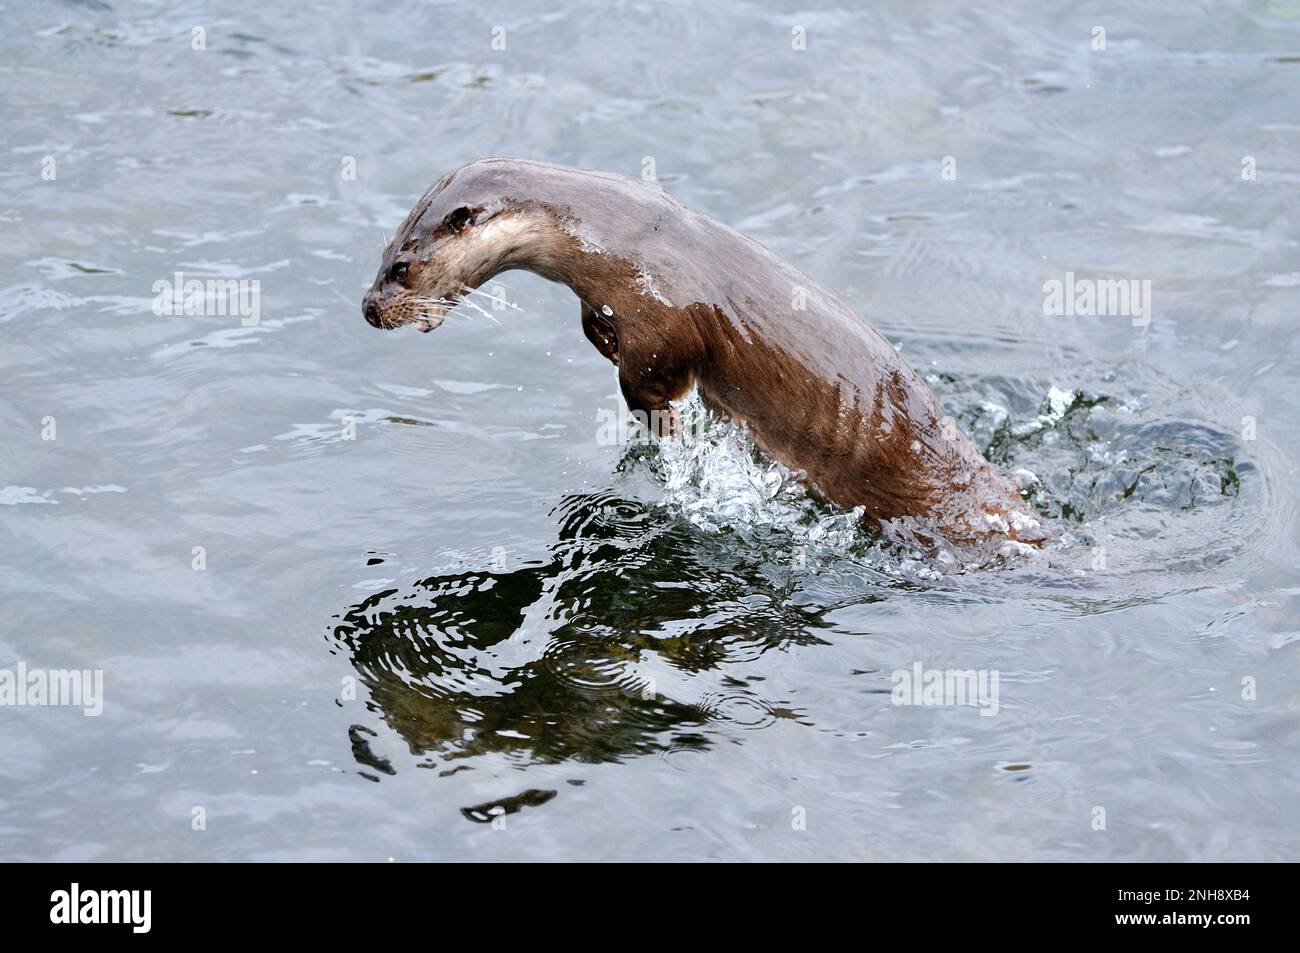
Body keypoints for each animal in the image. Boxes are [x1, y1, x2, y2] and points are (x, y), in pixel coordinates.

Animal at [362, 158, 1045, 557]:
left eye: (402, 269)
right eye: (381, 255)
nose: (369, 309)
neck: (610, 238)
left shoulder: (659, 306)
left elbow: (654, 375)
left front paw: (664, 424)